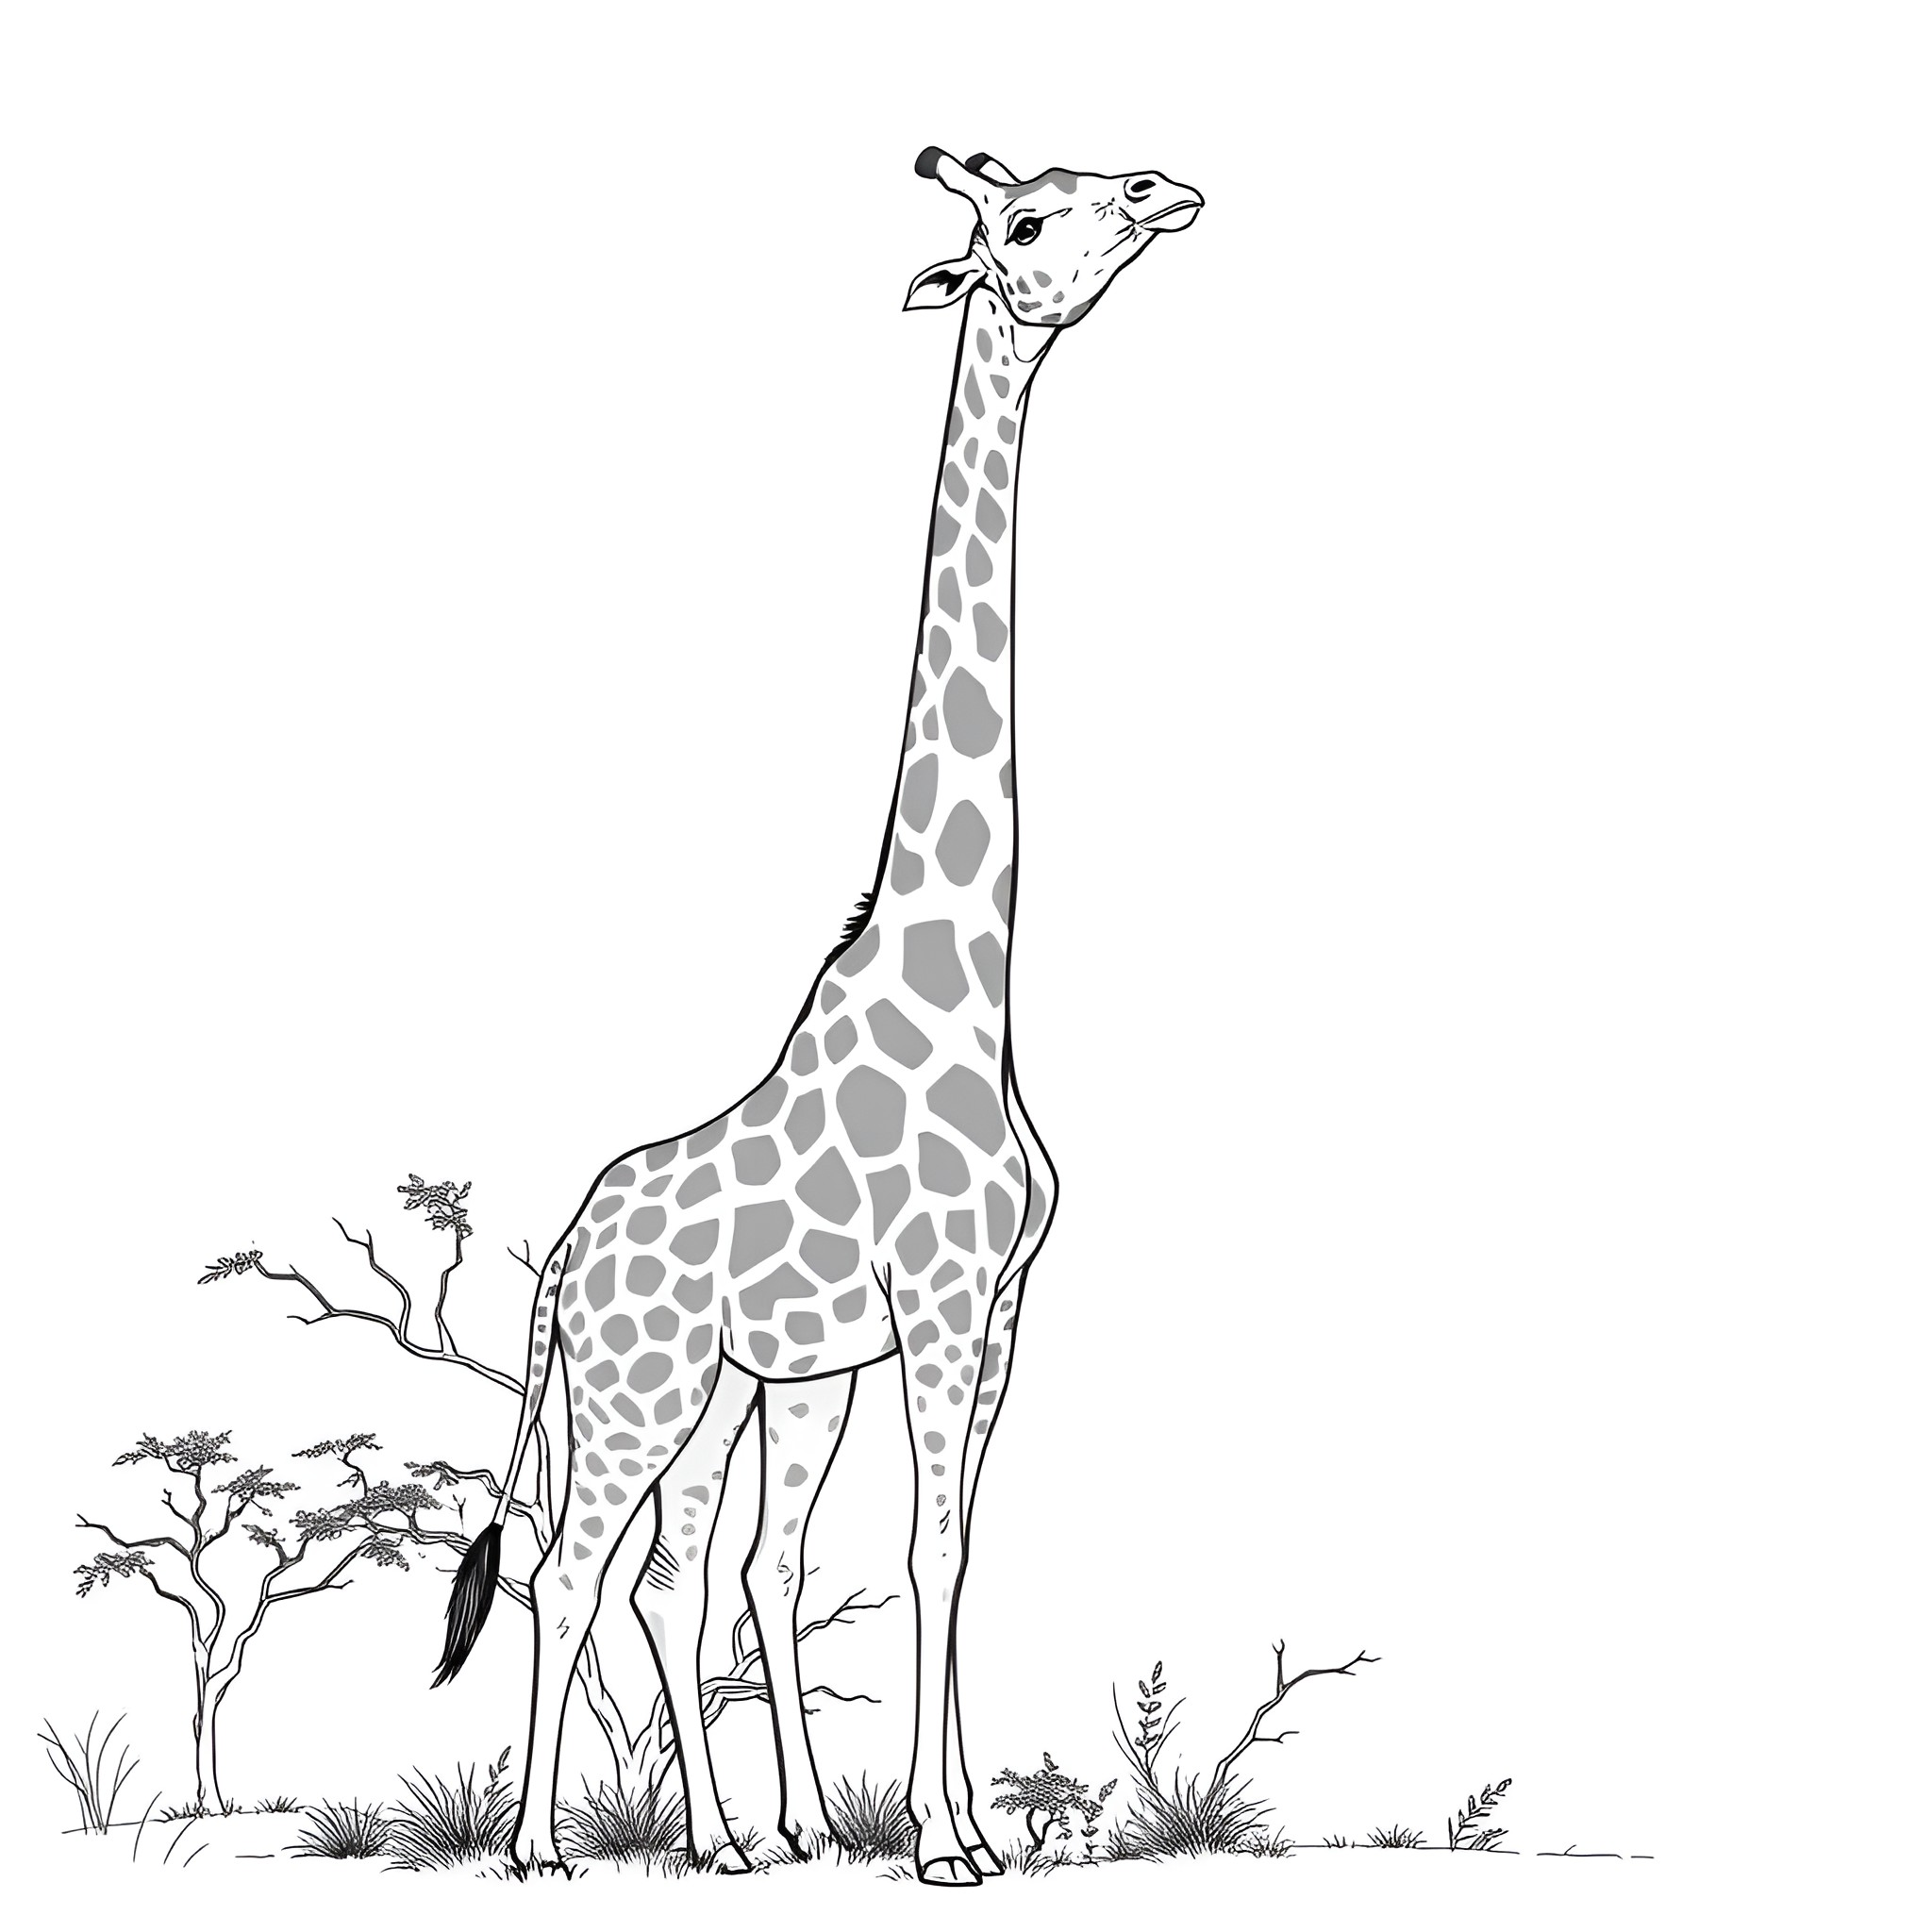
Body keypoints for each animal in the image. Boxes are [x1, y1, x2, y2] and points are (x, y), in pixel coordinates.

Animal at [433, 146, 1204, 1886]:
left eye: (1088, 187)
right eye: (1028, 222)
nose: (1165, 190)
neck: (964, 986)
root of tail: (566, 1252)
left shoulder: (997, 1306)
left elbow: (956, 1545)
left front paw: (960, 1824)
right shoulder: (935, 1298)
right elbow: (927, 1548)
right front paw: (940, 1842)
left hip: (736, 1386)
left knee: (689, 1568)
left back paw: (744, 1838)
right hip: (641, 1384)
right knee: (571, 1566)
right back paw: (542, 1850)